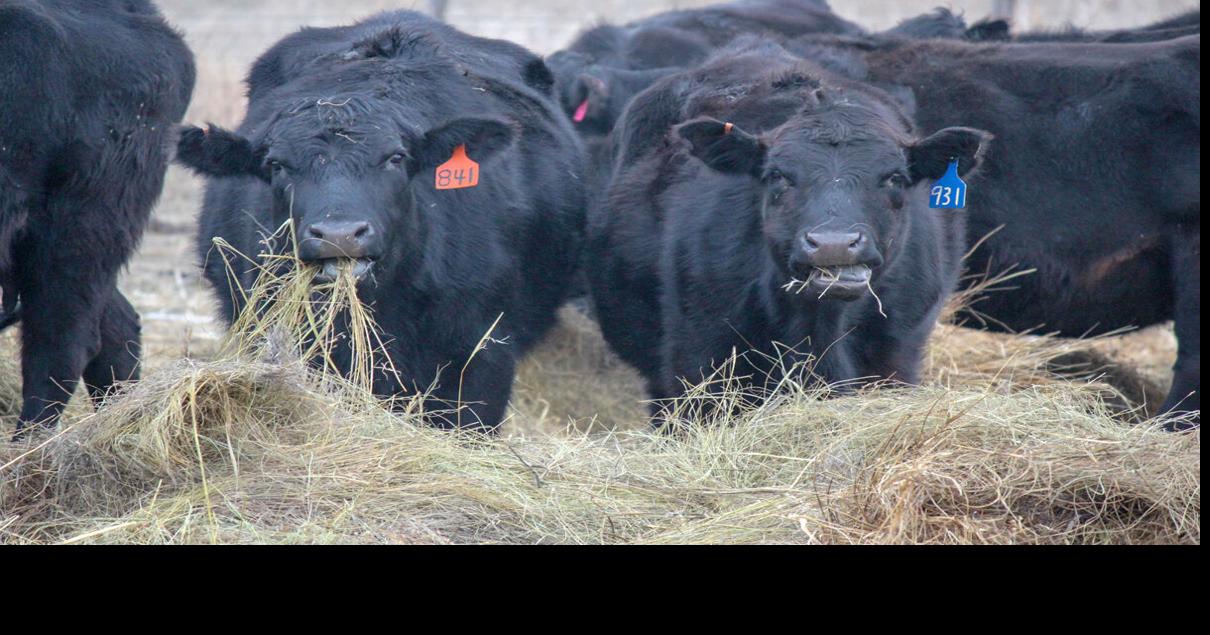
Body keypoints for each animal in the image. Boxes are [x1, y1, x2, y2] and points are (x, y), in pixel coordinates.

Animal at [587, 42, 990, 417]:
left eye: (894, 177)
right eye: (778, 175)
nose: (833, 244)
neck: (820, 329)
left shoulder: (896, 355)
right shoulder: (698, 359)